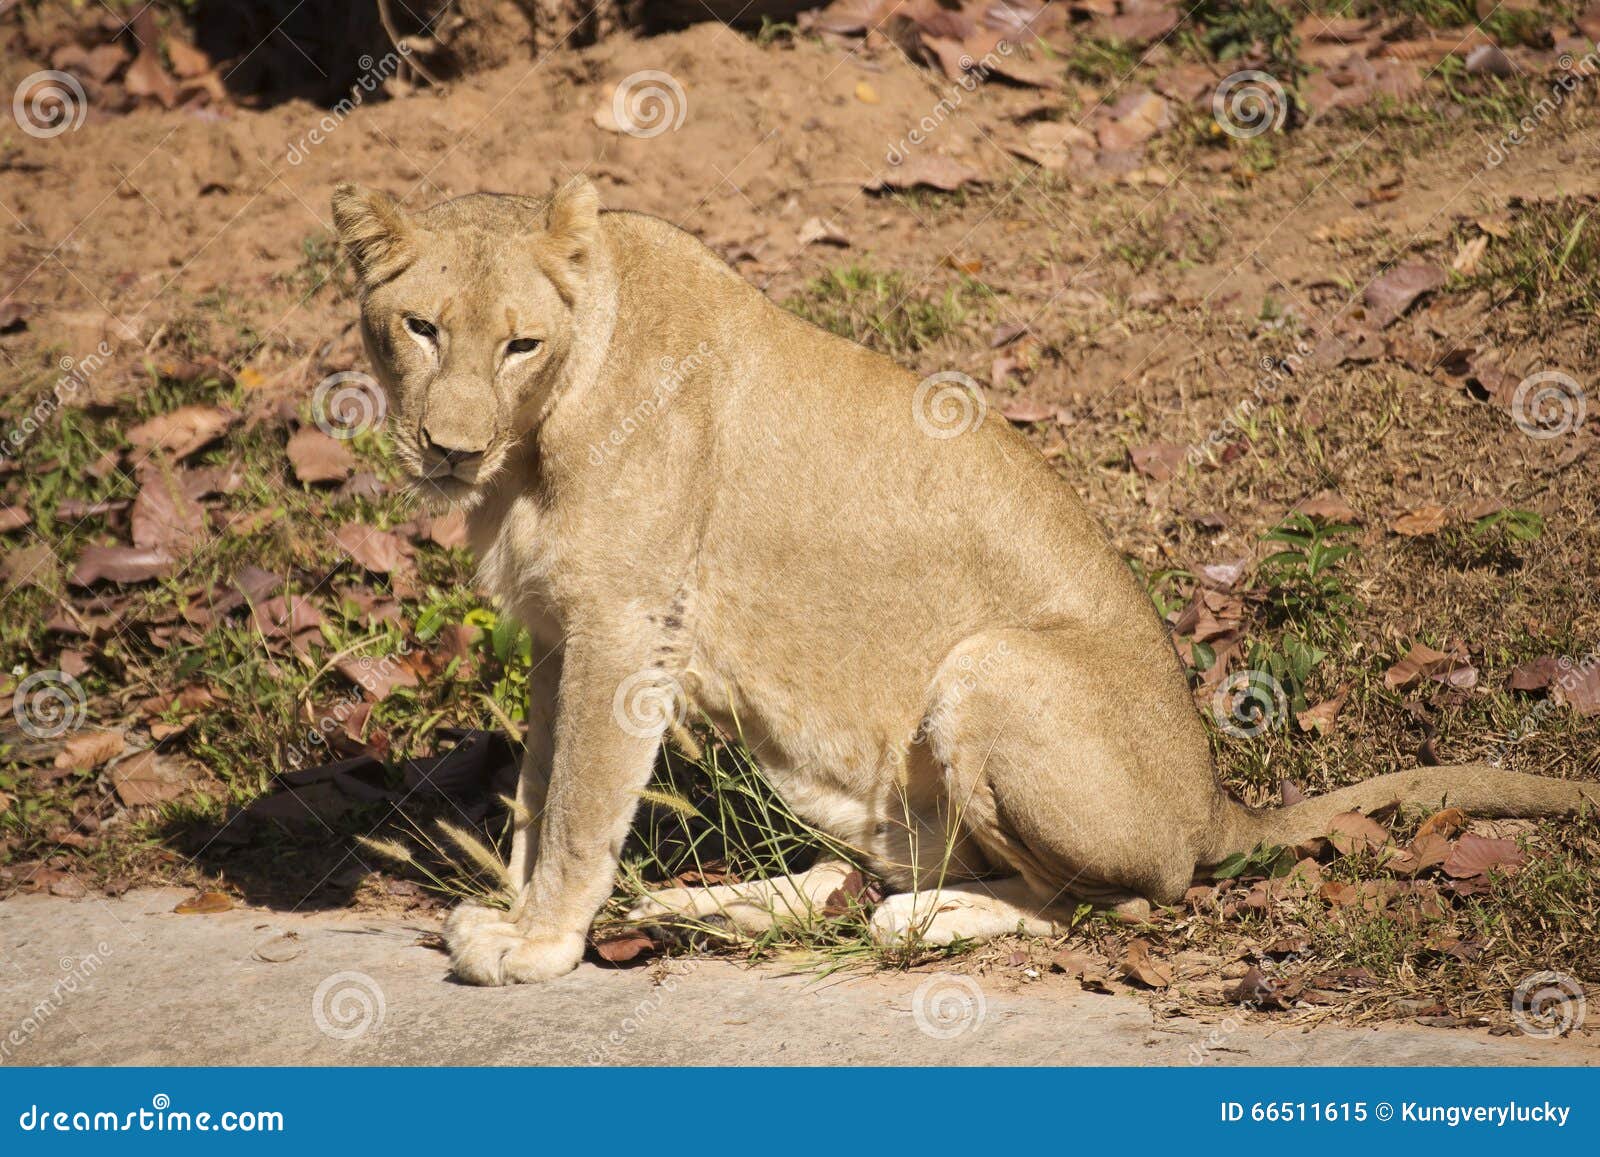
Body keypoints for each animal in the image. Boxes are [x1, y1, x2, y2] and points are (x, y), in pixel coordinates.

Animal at [331, 177, 1597, 985]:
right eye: (420, 327)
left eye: (519, 344)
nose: (446, 447)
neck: (530, 440)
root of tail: (1214, 798)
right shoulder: (561, 634)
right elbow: (539, 790)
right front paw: (519, 909)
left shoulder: (624, 624)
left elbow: (581, 803)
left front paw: (535, 945)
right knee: (871, 869)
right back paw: (713, 907)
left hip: (990, 669)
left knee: (1109, 903)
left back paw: (914, 924)